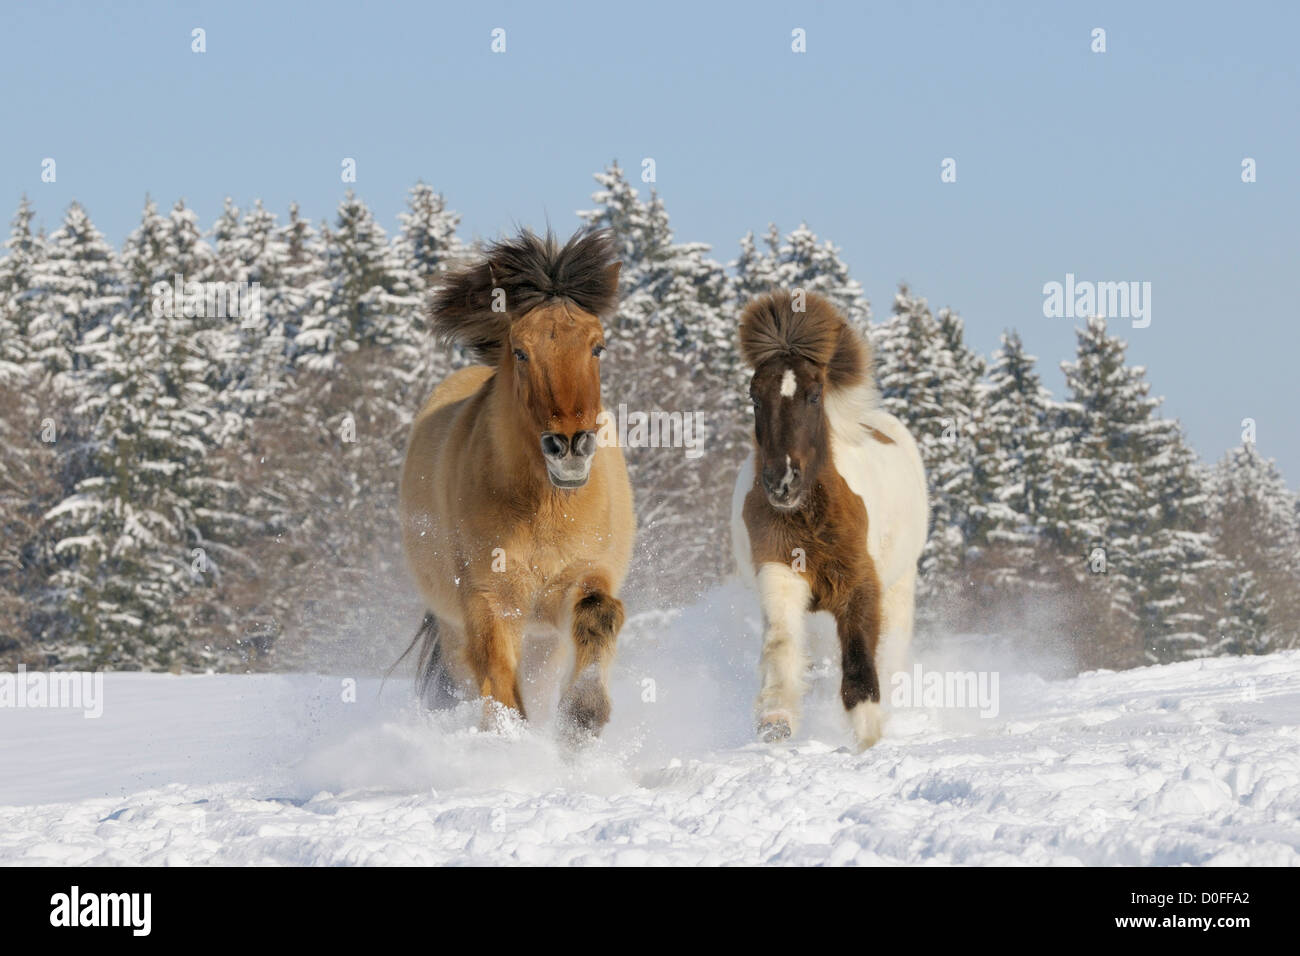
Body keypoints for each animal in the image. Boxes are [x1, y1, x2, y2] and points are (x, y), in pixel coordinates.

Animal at [398, 228, 634, 738]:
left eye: (597, 346)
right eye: (521, 351)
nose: (570, 446)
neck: (543, 508)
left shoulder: (580, 577)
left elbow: (599, 614)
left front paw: (583, 716)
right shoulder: (488, 601)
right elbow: (499, 683)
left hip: (544, 641)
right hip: (454, 627)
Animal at [730, 290, 928, 750]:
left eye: (814, 395)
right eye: (754, 396)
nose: (781, 481)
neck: (811, 515)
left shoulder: (859, 584)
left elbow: (859, 660)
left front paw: (869, 735)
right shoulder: (780, 570)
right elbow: (782, 642)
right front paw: (776, 718)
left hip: (900, 586)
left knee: (889, 654)